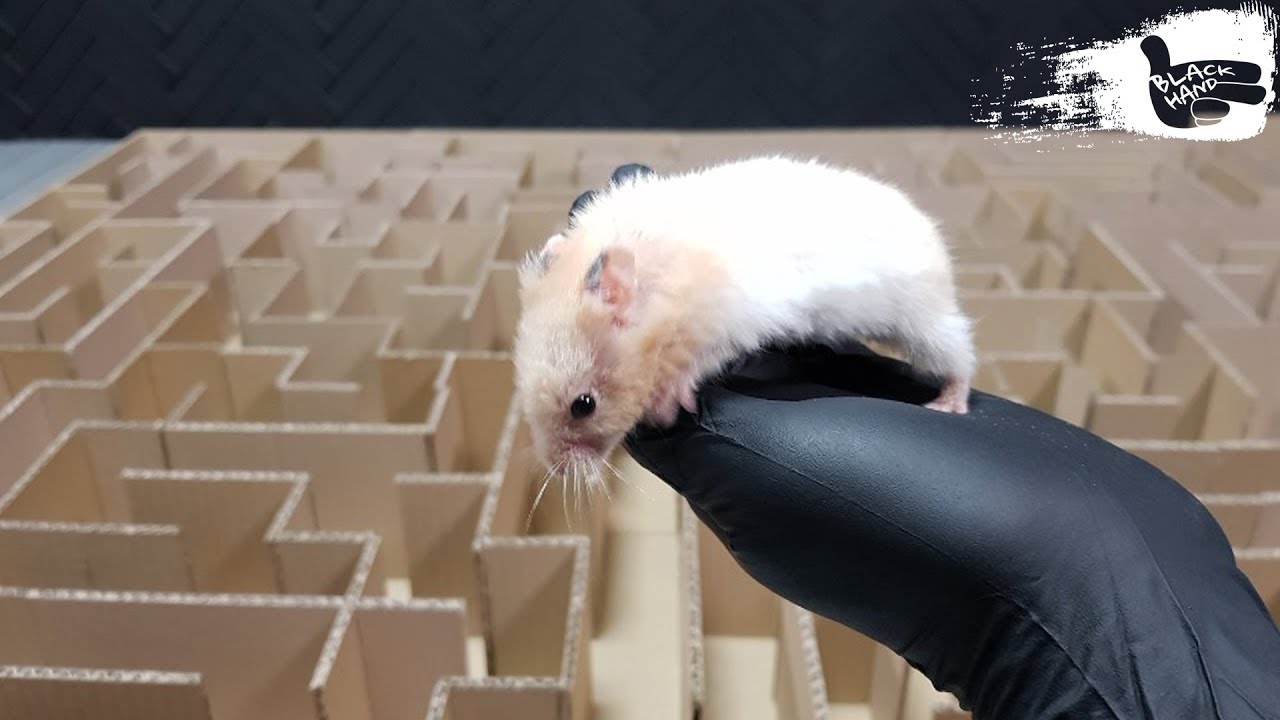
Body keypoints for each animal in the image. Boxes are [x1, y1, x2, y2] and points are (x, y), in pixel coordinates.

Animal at [512, 156, 975, 486]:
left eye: (583, 405)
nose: (555, 469)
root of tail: (934, 235)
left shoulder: (725, 328)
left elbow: (691, 367)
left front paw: (665, 410)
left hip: (924, 318)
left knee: (961, 355)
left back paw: (947, 405)